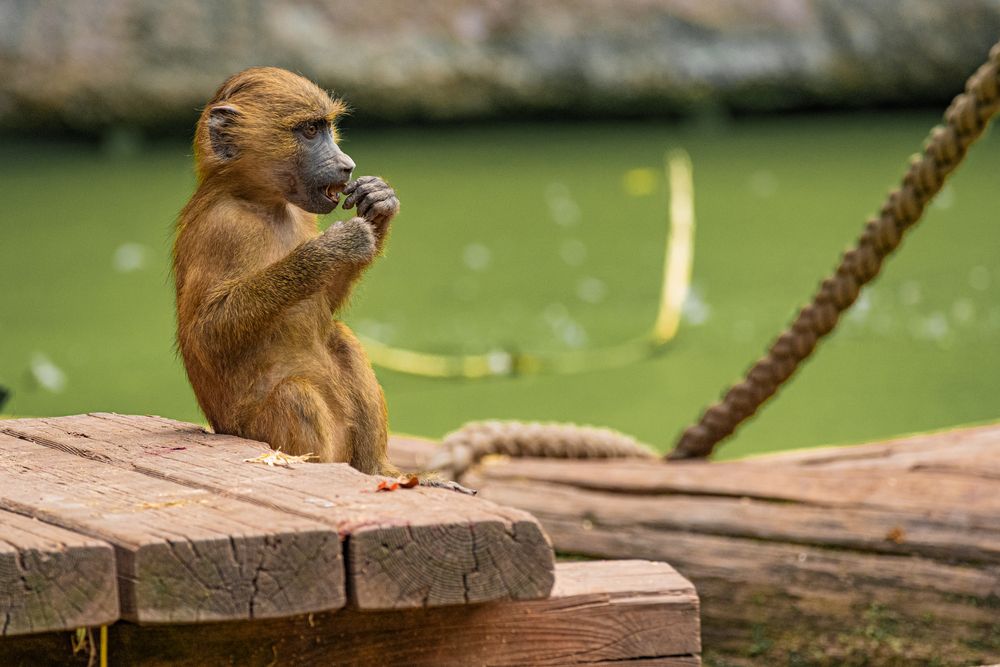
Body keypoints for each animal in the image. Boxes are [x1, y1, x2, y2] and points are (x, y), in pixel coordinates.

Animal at [173, 67, 470, 493]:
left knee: (341, 338)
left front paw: (379, 203)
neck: (260, 201)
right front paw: (332, 248)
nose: (347, 165)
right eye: (310, 130)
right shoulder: (222, 228)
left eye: (327, 127)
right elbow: (206, 333)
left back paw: (379, 471)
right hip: (257, 431)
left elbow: (326, 305)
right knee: (296, 394)